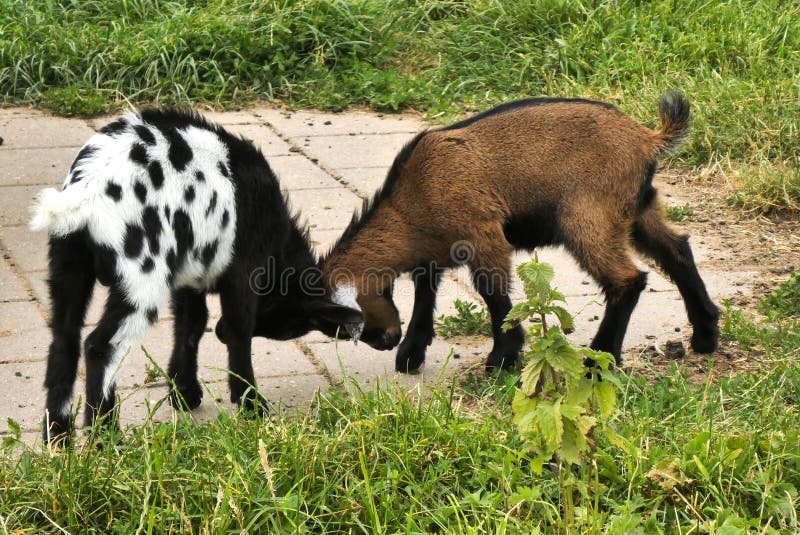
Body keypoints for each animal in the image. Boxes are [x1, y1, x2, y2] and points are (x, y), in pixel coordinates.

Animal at [30, 108, 362, 443]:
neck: (279, 248)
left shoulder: (189, 276)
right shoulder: (244, 269)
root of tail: (87, 189)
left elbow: (190, 324)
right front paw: (250, 402)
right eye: (291, 327)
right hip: (143, 276)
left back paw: (58, 438)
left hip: (68, 264)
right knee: (100, 347)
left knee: (64, 341)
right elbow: (239, 329)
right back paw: (106, 439)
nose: (220, 332)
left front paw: (184, 393)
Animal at [321, 92, 719, 373]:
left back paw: (598, 359)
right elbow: (425, 290)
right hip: (637, 209)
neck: (413, 198)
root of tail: (649, 138)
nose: (385, 342)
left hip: (588, 215)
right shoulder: (436, 251)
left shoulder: (483, 234)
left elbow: (493, 295)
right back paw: (705, 335)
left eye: (346, 321)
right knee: (677, 250)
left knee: (628, 279)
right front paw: (410, 355)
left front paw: (502, 358)